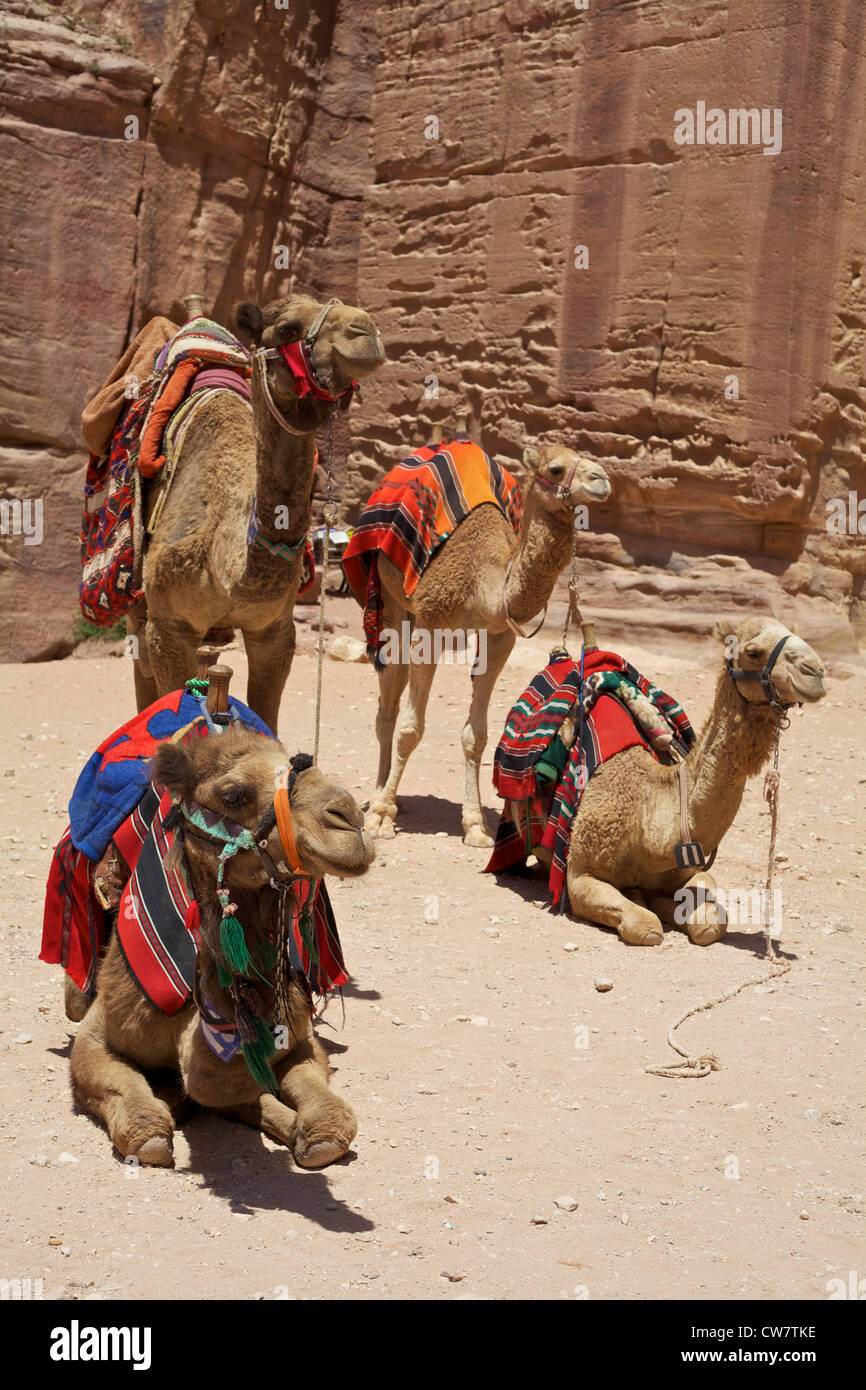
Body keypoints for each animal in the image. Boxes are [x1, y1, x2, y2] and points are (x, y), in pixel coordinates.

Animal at [69, 728, 375, 1169]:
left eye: (301, 761)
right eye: (233, 795)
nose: (349, 819)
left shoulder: (299, 1037)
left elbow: (318, 1103)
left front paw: (315, 1137)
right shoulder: (97, 1034)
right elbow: (135, 1107)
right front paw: (154, 1130)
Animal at [364, 445, 612, 846]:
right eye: (555, 469)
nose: (601, 478)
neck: (488, 582)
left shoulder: (499, 634)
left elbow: (475, 735)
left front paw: (476, 826)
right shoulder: (431, 621)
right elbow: (411, 729)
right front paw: (381, 818)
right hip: (390, 599)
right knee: (388, 704)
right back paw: (378, 800)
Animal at [560, 617, 826, 945]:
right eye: (752, 652)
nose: (815, 671)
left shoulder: (691, 871)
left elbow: (711, 921)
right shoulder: (579, 874)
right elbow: (647, 926)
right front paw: (644, 905)